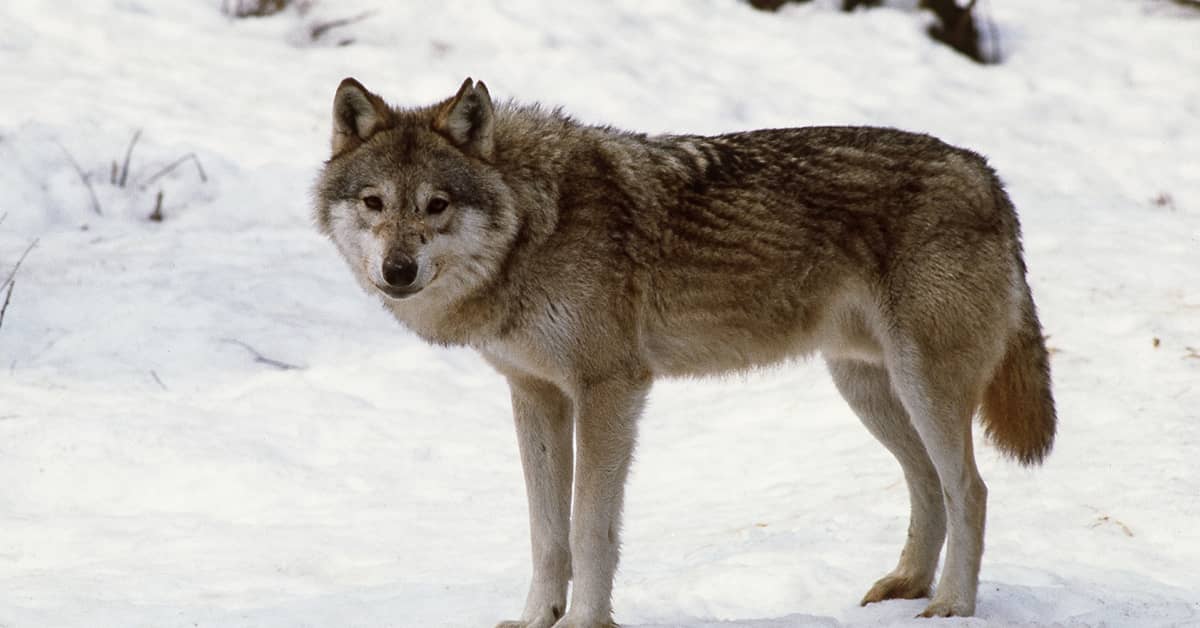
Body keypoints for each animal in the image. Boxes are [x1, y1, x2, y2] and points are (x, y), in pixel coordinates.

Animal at [313, 77, 1056, 627]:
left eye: (437, 204)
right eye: (374, 201)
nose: (398, 270)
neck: (535, 224)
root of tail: (987, 175)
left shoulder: (611, 389)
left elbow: (588, 529)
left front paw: (585, 621)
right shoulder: (535, 395)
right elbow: (546, 534)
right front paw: (534, 619)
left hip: (921, 384)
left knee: (970, 488)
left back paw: (952, 603)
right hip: (866, 387)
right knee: (926, 481)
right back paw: (906, 584)